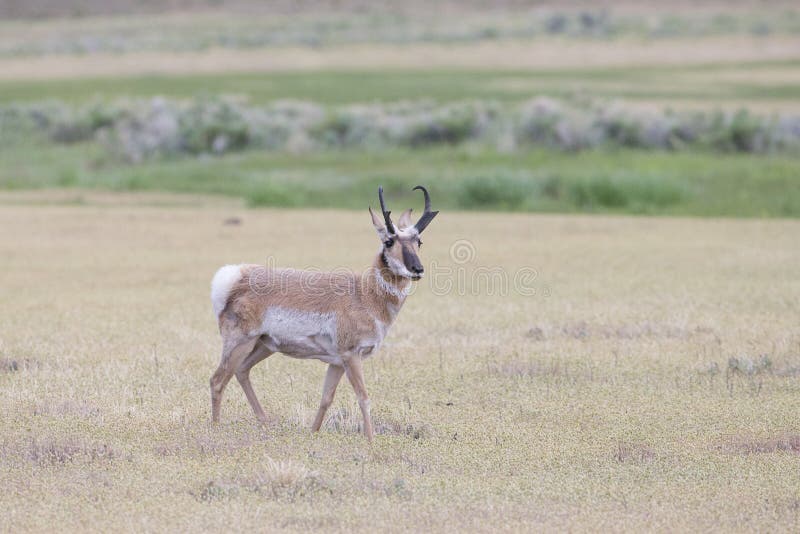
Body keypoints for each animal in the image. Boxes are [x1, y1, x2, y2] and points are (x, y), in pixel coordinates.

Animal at [209, 186, 438, 440]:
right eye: (389, 241)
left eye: (419, 241)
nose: (417, 269)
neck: (363, 293)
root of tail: (237, 277)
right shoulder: (351, 356)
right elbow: (364, 397)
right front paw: (370, 440)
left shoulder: (337, 363)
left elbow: (326, 399)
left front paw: (313, 433)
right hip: (240, 343)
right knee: (217, 380)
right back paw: (216, 429)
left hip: (264, 345)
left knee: (241, 371)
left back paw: (265, 421)